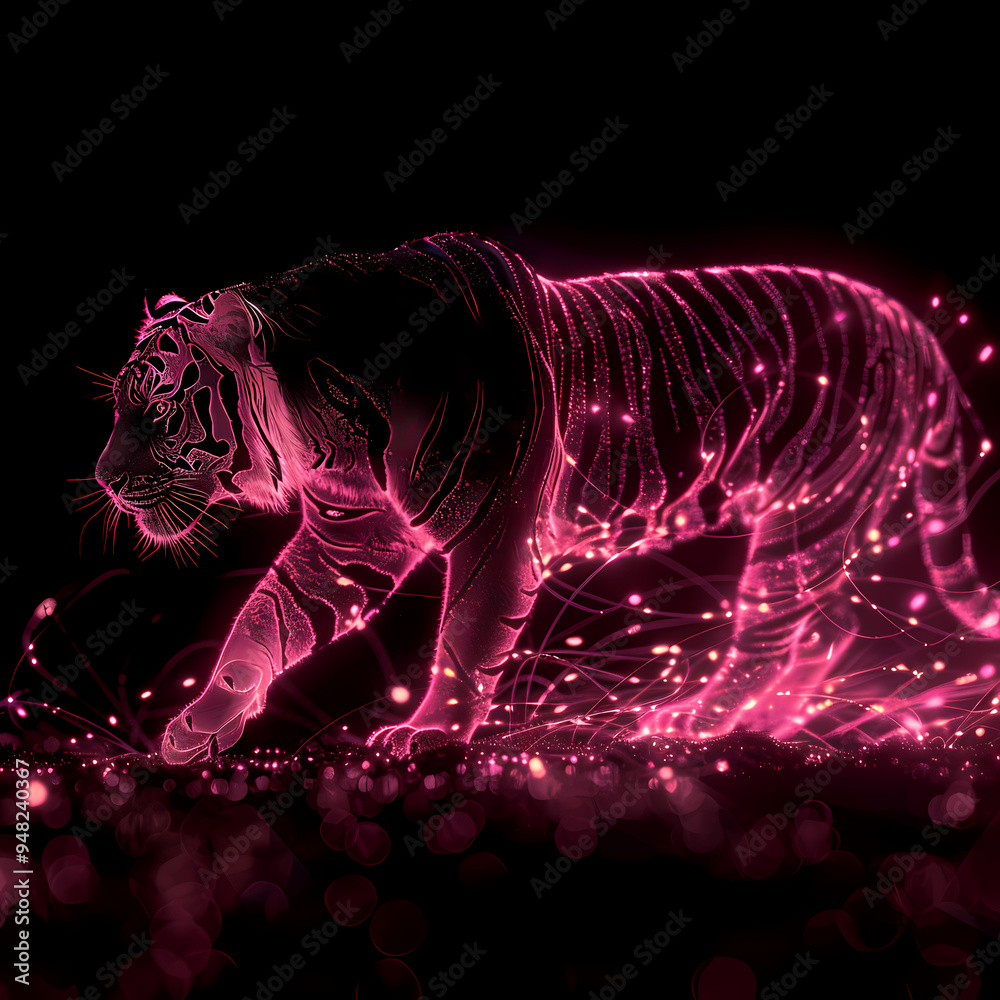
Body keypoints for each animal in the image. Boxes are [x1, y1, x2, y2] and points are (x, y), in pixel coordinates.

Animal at [92, 232, 1000, 763]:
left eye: (158, 406)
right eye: (119, 404)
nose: (102, 477)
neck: (327, 431)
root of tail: (907, 322)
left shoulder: (497, 533)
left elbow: (464, 635)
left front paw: (426, 735)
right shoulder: (351, 538)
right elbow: (261, 624)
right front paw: (201, 723)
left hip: (806, 511)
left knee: (777, 630)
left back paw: (699, 721)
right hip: (825, 520)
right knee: (831, 623)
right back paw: (768, 721)